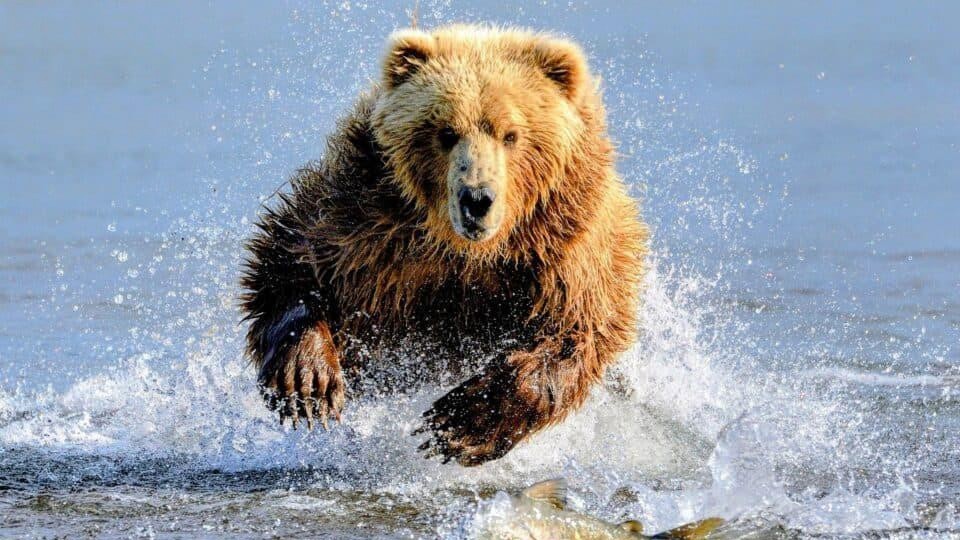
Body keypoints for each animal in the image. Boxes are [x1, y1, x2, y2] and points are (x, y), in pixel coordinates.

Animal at [240, 24, 648, 466]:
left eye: (511, 134)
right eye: (446, 132)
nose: (477, 198)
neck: (467, 250)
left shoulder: (563, 245)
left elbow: (577, 330)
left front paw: (459, 424)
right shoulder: (367, 221)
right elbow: (291, 258)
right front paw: (308, 381)